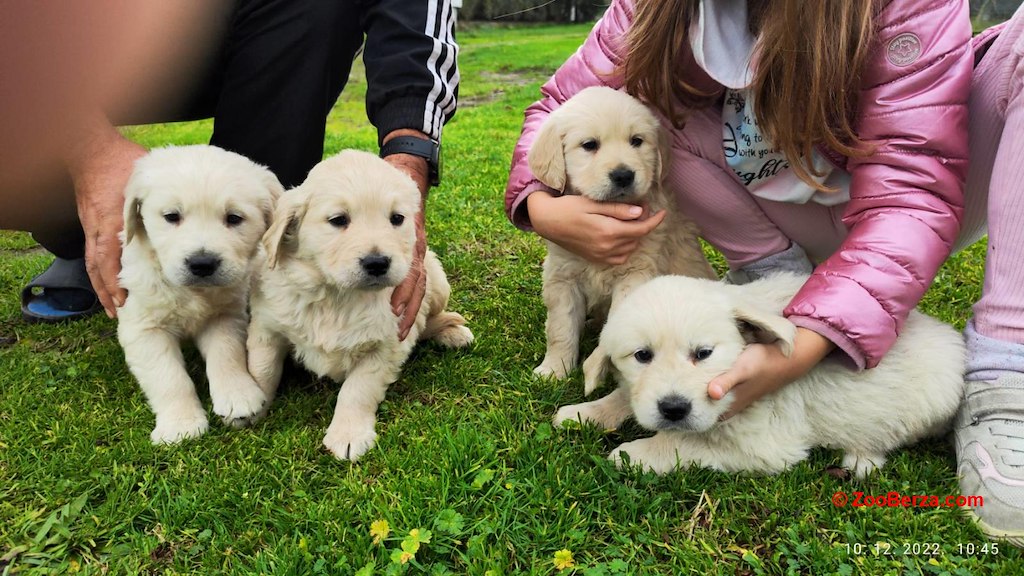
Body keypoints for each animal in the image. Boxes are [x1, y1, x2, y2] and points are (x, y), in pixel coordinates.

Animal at [118, 144, 282, 444]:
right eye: (172, 216)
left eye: (234, 218)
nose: (202, 264)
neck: (192, 292)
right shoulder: (144, 328)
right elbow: (169, 377)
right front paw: (180, 424)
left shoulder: (225, 315)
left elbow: (226, 354)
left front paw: (238, 396)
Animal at [247, 150, 475, 459]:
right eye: (338, 219)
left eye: (397, 218)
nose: (377, 263)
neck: (336, 296)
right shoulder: (267, 327)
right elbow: (263, 369)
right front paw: (247, 404)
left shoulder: (387, 345)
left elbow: (358, 390)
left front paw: (348, 435)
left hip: (434, 279)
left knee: (430, 317)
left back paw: (453, 331)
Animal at [528, 85, 712, 385]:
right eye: (589, 145)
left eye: (636, 141)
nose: (623, 175)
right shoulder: (561, 276)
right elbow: (560, 327)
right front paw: (555, 370)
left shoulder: (636, 274)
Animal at [557, 272, 962, 475]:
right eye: (642, 355)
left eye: (703, 354)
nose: (674, 409)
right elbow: (625, 395)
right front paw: (585, 412)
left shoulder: (763, 443)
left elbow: (684, 443)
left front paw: (634, 453)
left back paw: (862, 460)